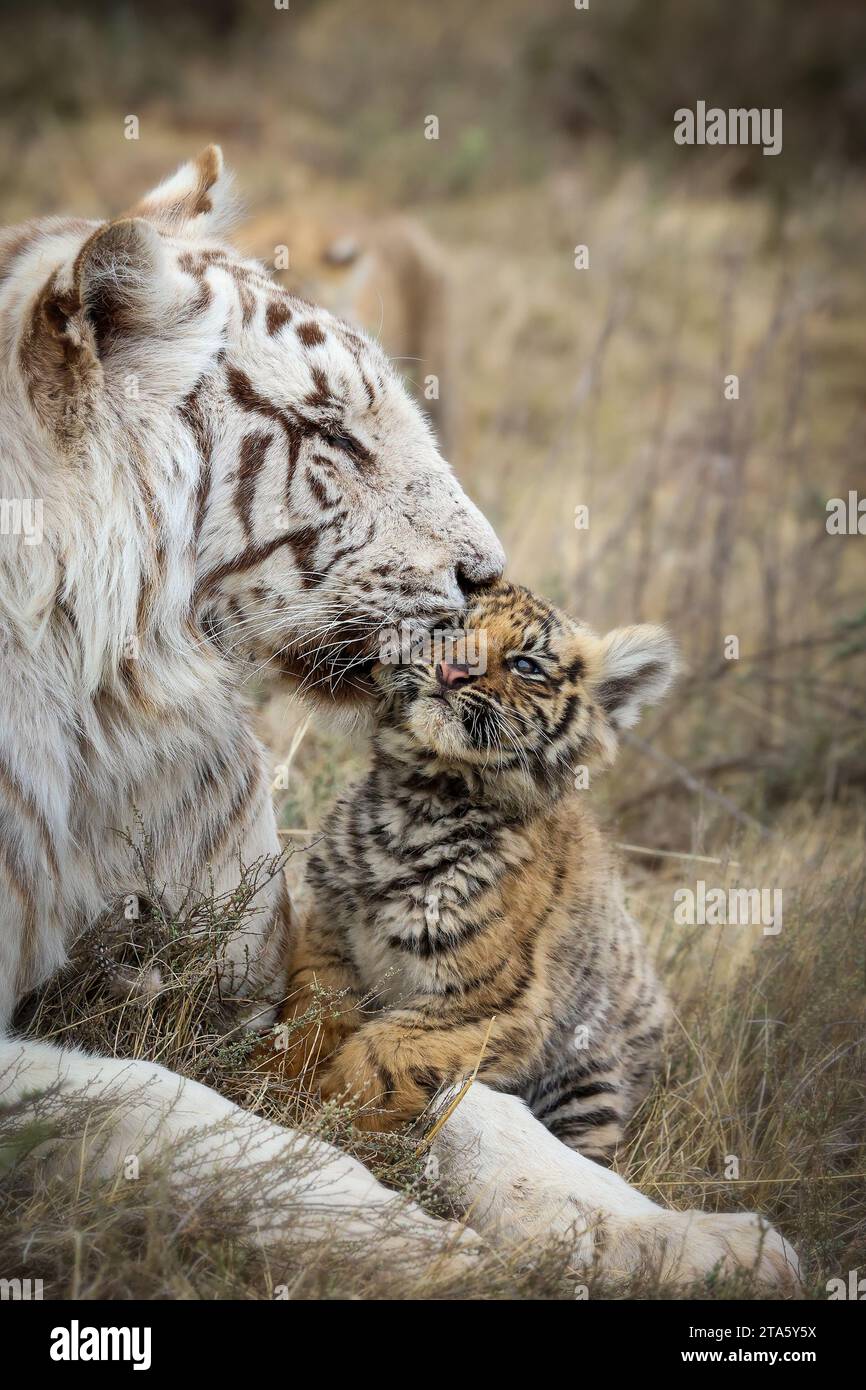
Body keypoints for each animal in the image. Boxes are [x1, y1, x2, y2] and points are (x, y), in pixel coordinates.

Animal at [266, 581, 673, 1161]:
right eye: (450, 627)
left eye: (525, 664)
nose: (454, 670)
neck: (421, 801)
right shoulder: (330, 938)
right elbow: (309, 1018)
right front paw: (273, 1085)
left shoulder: (492, 1003)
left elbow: (383, 1057)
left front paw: (324, 1121)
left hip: (589, 1087)